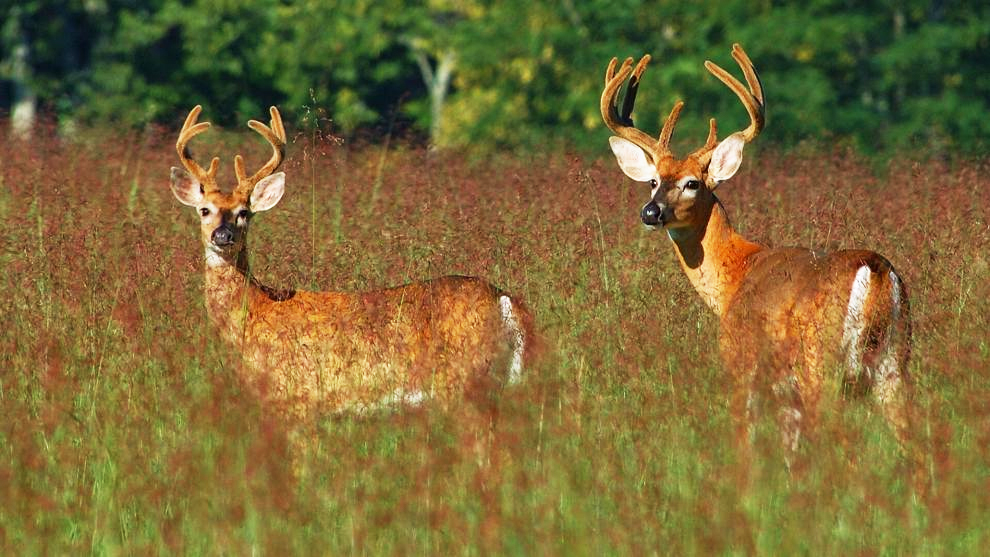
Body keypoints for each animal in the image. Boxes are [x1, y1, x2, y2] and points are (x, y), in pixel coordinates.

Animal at [167, 105, 534, 429]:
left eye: (244, 212)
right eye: (204, 209)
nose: (222, 235)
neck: (257, 312)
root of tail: (504, 300)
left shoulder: (299, 397)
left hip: (463, 383)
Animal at [600, 44, 915, 468]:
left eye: (692, 183)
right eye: (653, 181)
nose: (651, 212)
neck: (734, 276)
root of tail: (876, 269)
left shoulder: (740, 363)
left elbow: (744, 445)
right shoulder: (787, 396)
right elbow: (789, 456)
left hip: (822, 360)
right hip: (894, 362)